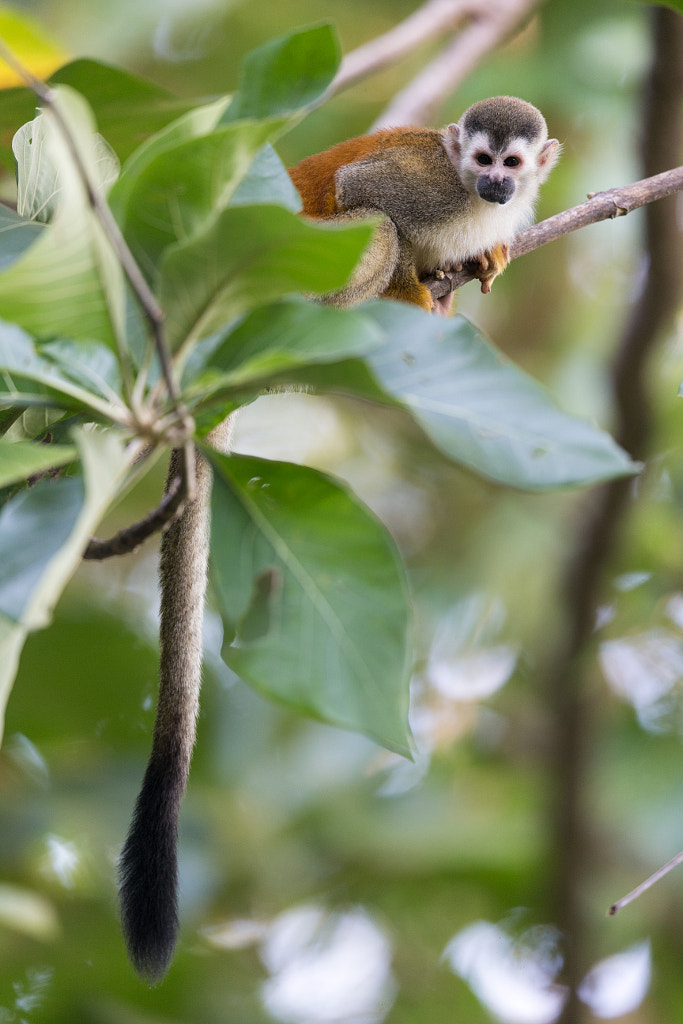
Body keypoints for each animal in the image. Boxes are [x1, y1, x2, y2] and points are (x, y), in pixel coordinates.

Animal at [288, 96, 560, 314]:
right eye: (483, 159)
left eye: (511, 162)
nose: (495, 180)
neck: (471, 192)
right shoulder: (434, 188)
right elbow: (356, 185)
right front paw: (405, 292)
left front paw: (488, 253)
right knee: (382, 227)